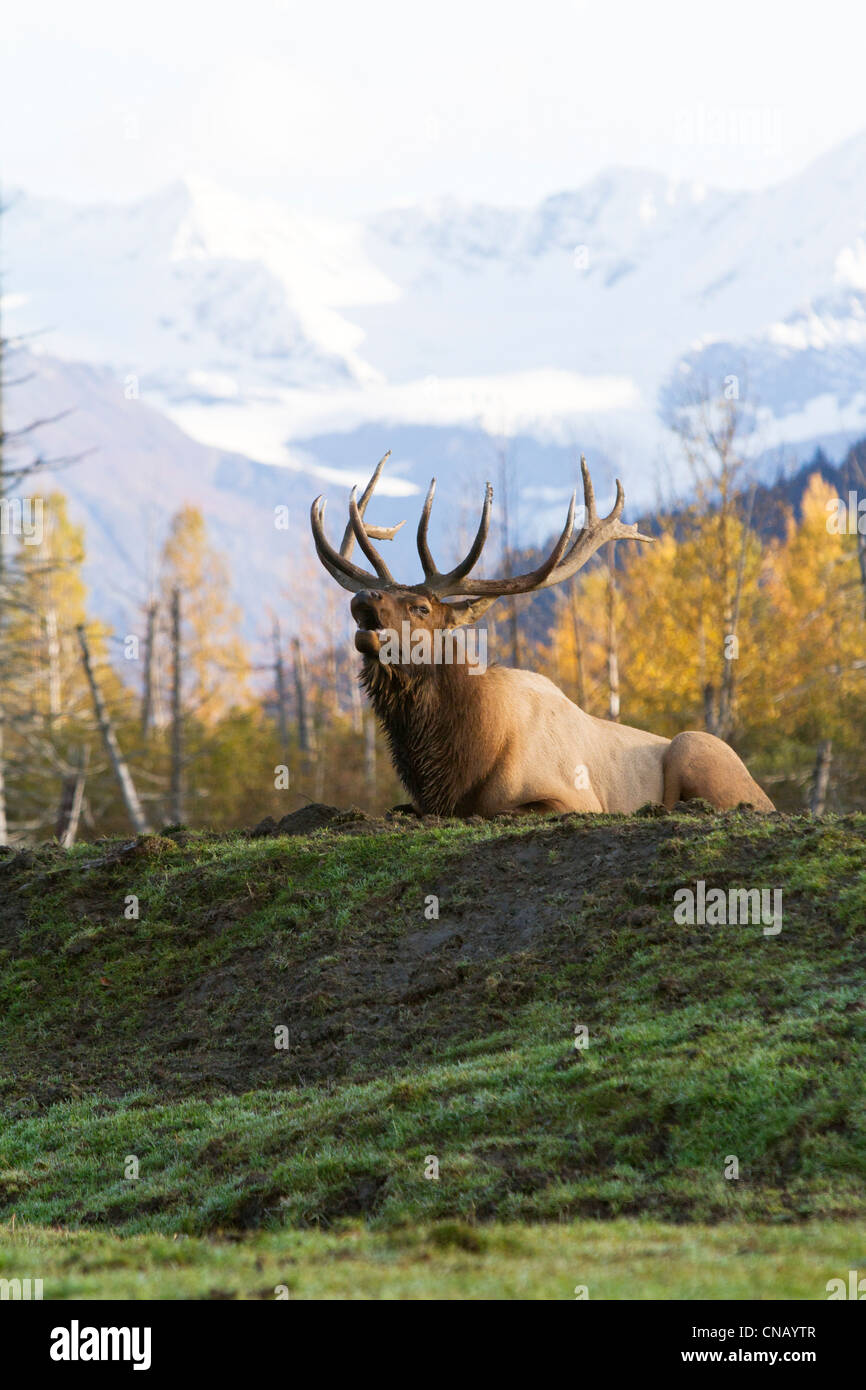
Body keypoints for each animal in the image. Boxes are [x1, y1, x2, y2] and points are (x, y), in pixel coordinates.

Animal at [310, 453, 775, 816]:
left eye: (421, 607)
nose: (362, 599)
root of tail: (765, 796)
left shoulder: (575, 800)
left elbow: (501, 812)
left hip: (695, 747)